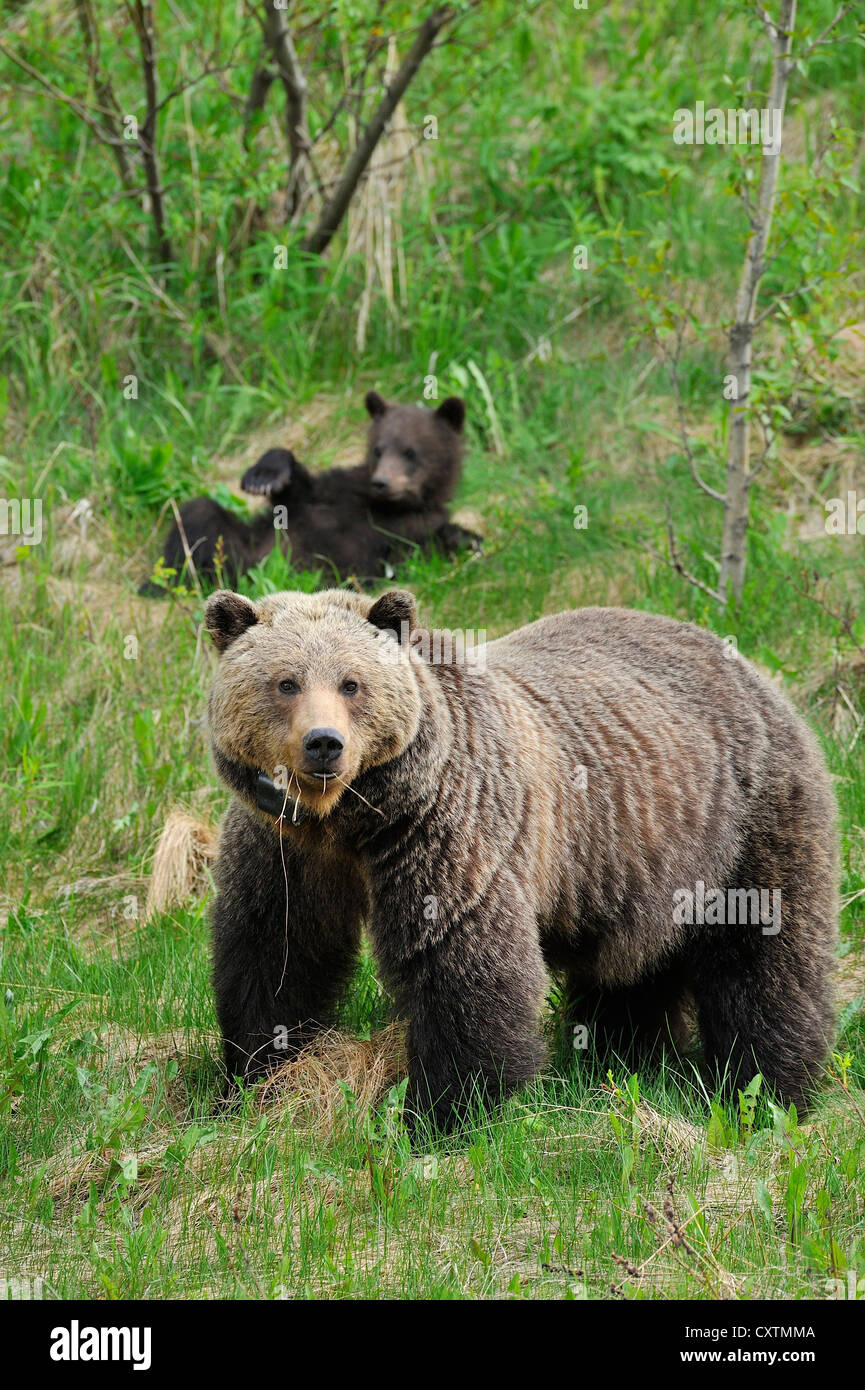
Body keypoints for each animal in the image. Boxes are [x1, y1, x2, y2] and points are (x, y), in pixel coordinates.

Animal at [140, 393, 479, 595]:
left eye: (411, 452)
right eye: (378, 449)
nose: (382, 482)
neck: (390, 506)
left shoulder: (413, 531)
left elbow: (413, 551)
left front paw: (466, 538)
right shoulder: (340, 489)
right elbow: (294, 499)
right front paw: (264, 474)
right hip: (240, 545)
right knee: (198, 516)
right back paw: (163, 584)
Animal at [204, 586, 838, 1133]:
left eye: (351, 683)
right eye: (286, 682)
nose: (324, 744)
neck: (349, 821)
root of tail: (750, 668)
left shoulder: (446, 831)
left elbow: (463, 966)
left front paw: (442, 1113)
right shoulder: (282, 850)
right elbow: (276, 953)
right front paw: (256, 1076)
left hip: (745, 824)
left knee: (762, 957)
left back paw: (765, 1088)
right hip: (638, 866)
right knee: (631, 973)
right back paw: (626, 1058)